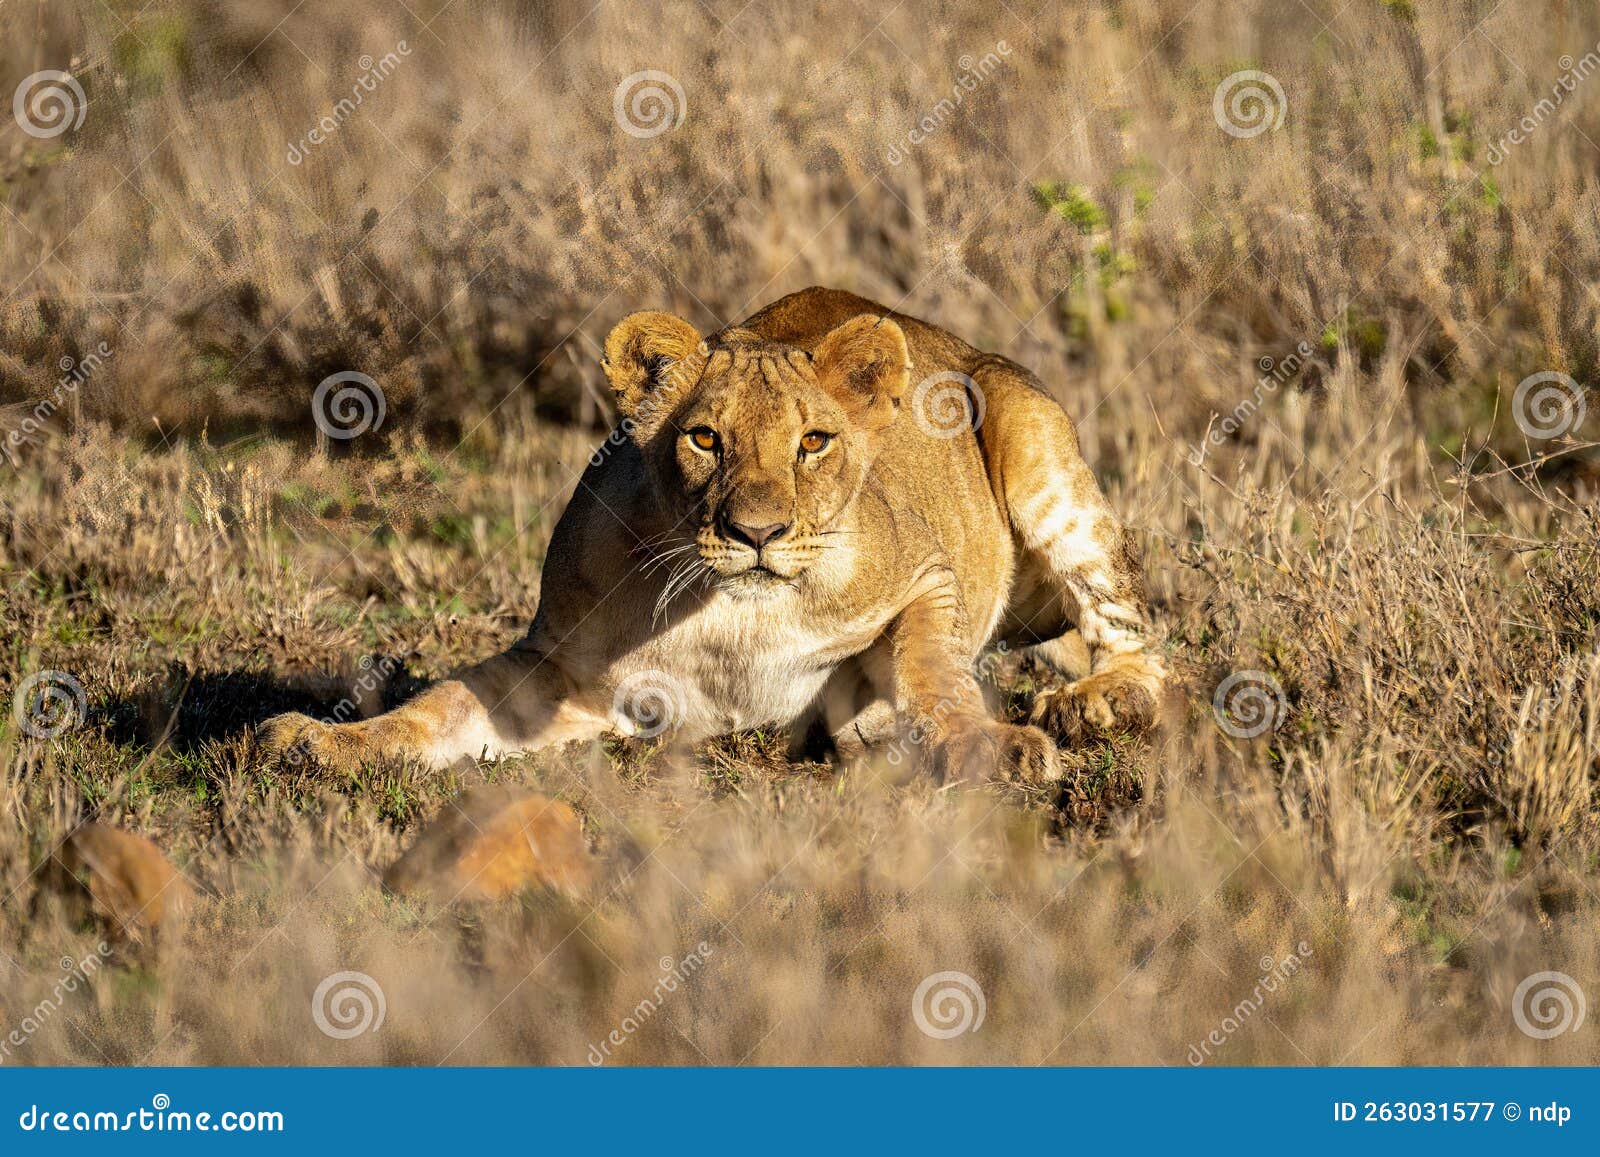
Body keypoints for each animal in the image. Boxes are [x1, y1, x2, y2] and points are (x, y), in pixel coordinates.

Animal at [261, 287, 1166, 782]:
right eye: (705, 439)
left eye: (813, 441)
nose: (756, 531)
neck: (736, 613)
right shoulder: (565, 674)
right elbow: (441, 705)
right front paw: (316, 741)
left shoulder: (925, 576)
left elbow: (932, 668)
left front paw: (990, 747)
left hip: (1030, 431)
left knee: (1144, 645)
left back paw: (1093, 704)